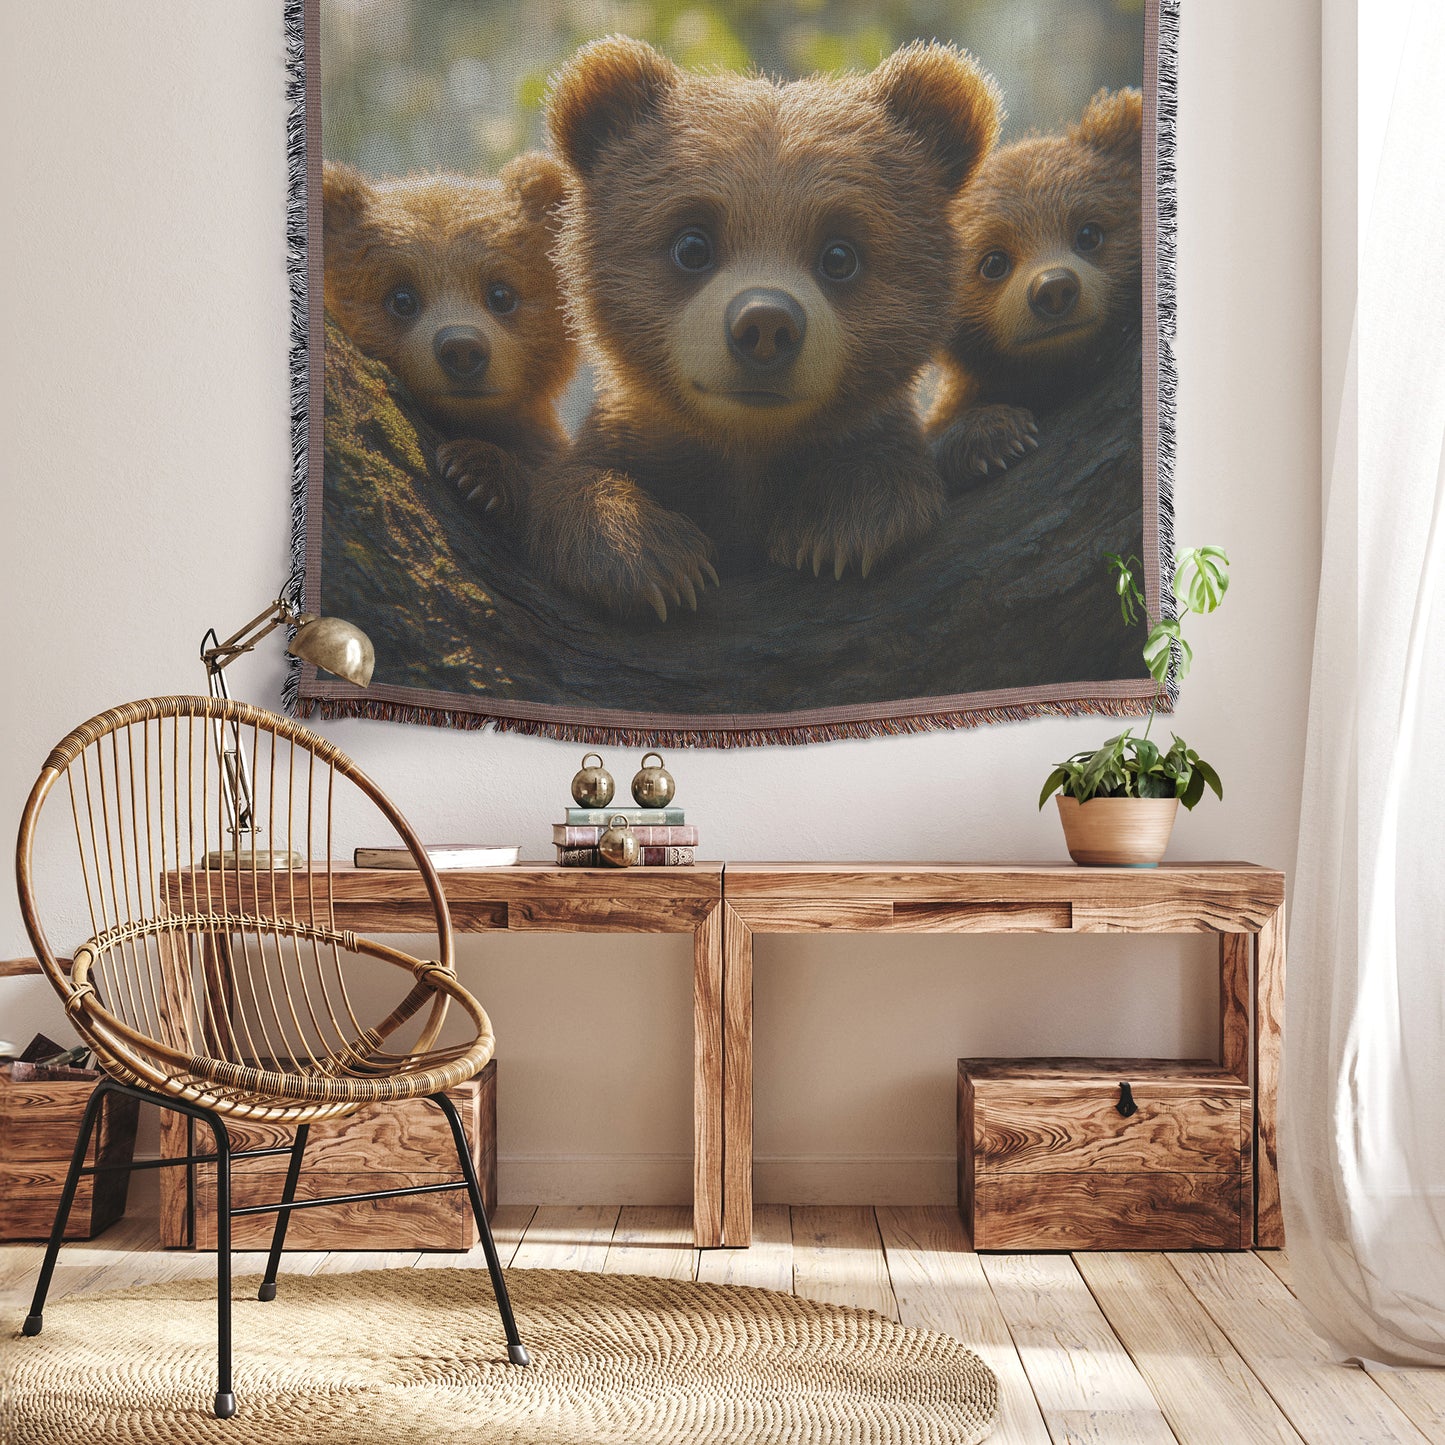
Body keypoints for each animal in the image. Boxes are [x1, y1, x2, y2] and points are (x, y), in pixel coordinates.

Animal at [528, 36, 1002, 621]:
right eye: (692, 243)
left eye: (839, 255)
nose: (765, 325)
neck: (748, 450)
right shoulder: (636, 442)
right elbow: (576, 488)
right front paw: (654, 560)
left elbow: (883, 472)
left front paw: (837, 528)